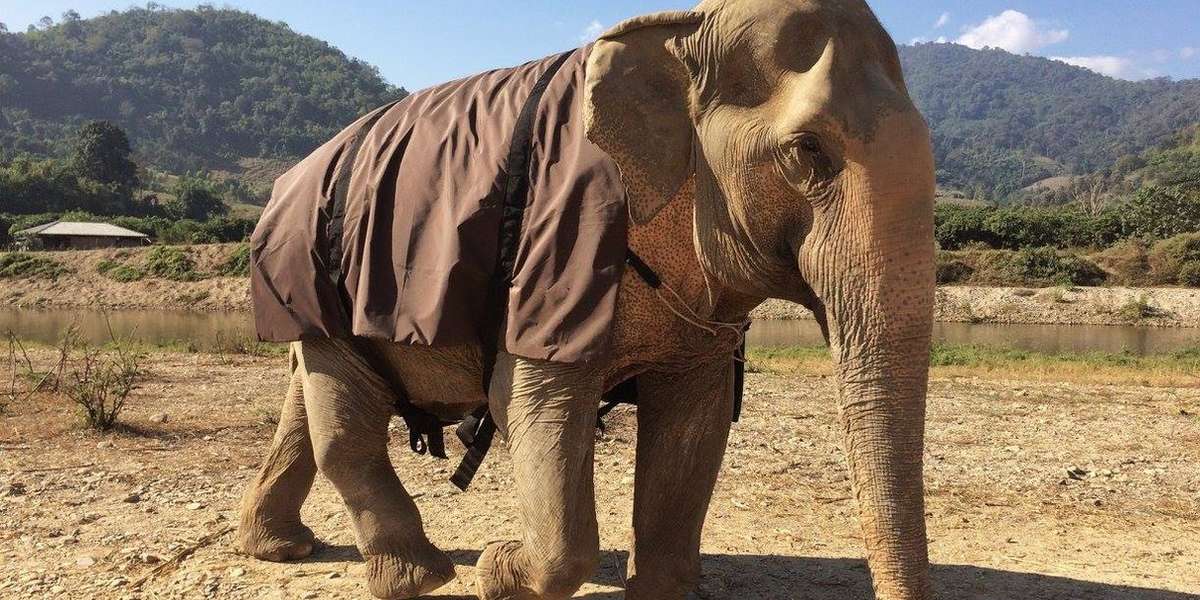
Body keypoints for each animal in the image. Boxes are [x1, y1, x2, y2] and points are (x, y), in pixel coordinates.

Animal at [236, 0, 936, 599]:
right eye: (807, 150)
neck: (683, 27)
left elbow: (695, 417)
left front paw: (655, 593)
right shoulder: (555, 253)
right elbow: (527, 401)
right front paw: (497, 571)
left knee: (310, 404)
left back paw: (283, 547)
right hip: (315, 283)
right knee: (343, 426)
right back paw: (422, 577)